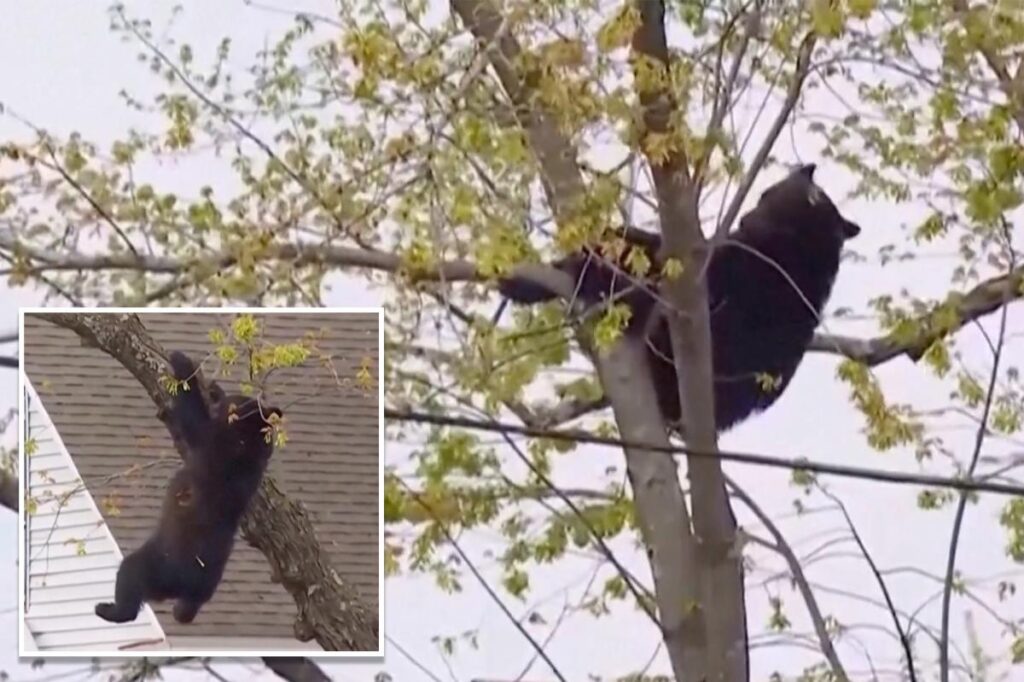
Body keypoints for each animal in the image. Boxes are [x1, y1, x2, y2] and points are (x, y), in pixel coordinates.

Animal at [94, 350, 283, 625]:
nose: (222, 394)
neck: (246, 444)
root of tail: (183, 584)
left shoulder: (212, 443)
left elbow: (192, 418)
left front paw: (182, 361)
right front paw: (212, 387)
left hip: (156, 562)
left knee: (129, 576)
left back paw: (109, 609)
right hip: (201, 584)